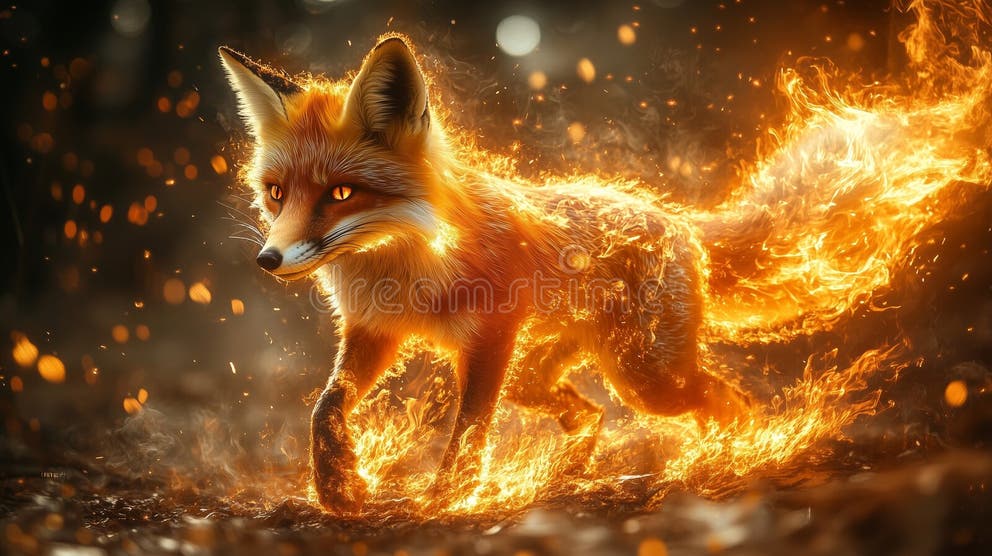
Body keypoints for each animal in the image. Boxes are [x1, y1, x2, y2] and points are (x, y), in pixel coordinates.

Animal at [219, 36, 751, 513]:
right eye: (277, 193)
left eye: (341, 193)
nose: (268, 259)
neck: (405, 269)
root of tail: (680, 221)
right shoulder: (374, 332)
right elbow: (325, 405)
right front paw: (337, 485)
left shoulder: (489, 337)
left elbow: (469, 428)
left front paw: (444, 497)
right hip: (532, 377)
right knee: (592, 413)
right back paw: (569, 473)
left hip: (644, 377)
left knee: (728, 401)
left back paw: (726, 459)